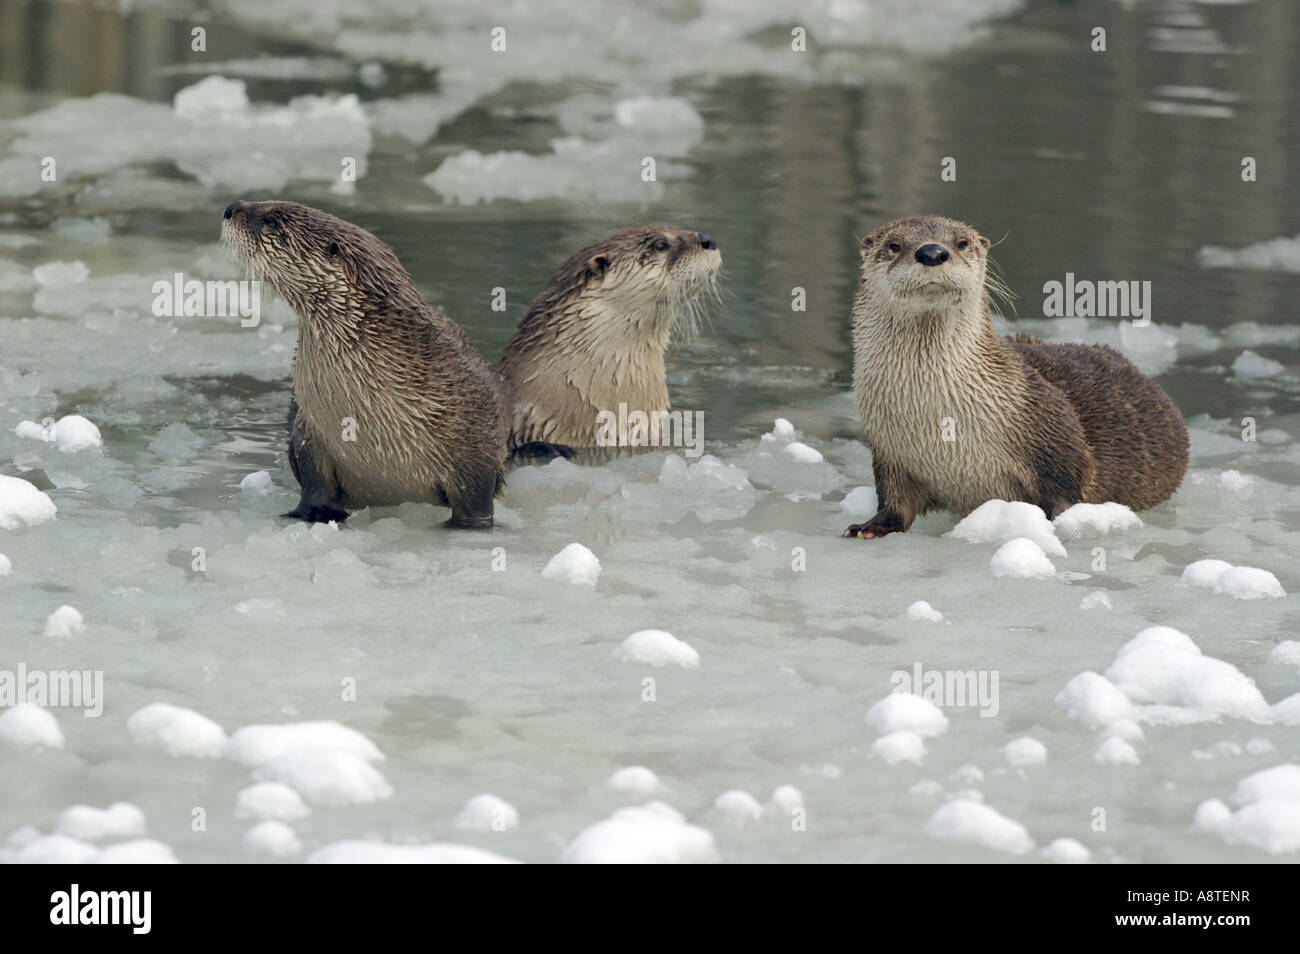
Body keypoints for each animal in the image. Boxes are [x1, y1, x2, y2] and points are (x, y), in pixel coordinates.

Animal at [222, 200, 506, 527]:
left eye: (272, 221)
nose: (231, 208)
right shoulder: (310, 431)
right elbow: (314, 483)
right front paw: (311, 514)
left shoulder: (474, 445)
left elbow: (476, 498)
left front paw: (469, 527)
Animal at [842, 215, 1188, 539]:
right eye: (895, 245)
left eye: (962, 242)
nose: (931, 252)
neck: (938, 420)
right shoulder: (889, 451)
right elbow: (894, 500)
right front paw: (871, 526)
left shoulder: (1050, 434)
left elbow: (1066, 487)